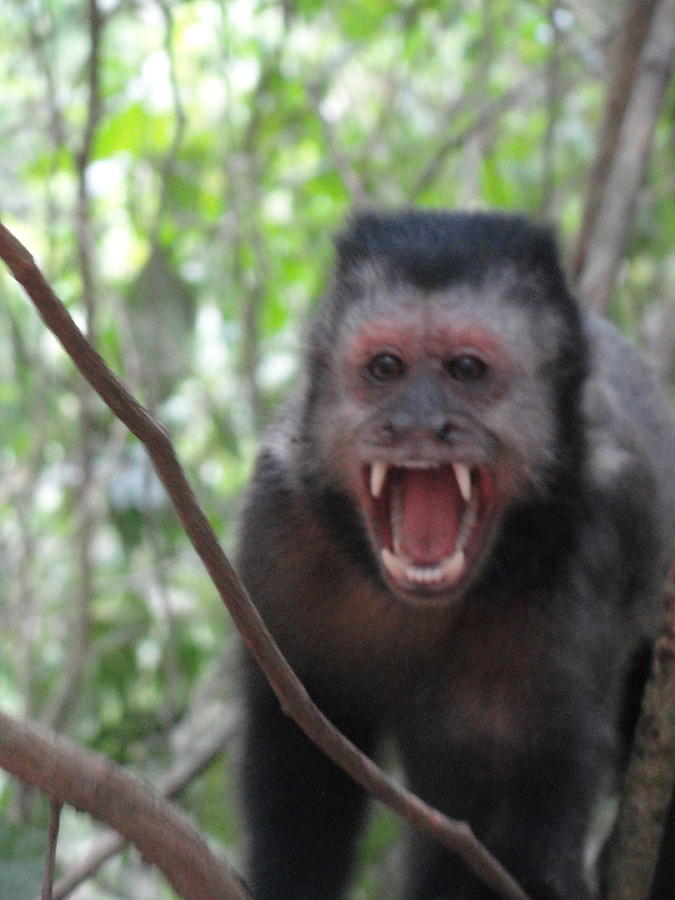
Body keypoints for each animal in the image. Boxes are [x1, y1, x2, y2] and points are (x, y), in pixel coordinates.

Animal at [236, 210, 675, 900]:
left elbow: (536, 783)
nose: (419, 423)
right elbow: (303, 734)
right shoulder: (281, 525)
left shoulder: (589, 538)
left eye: (466, 369)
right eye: (386, 367)